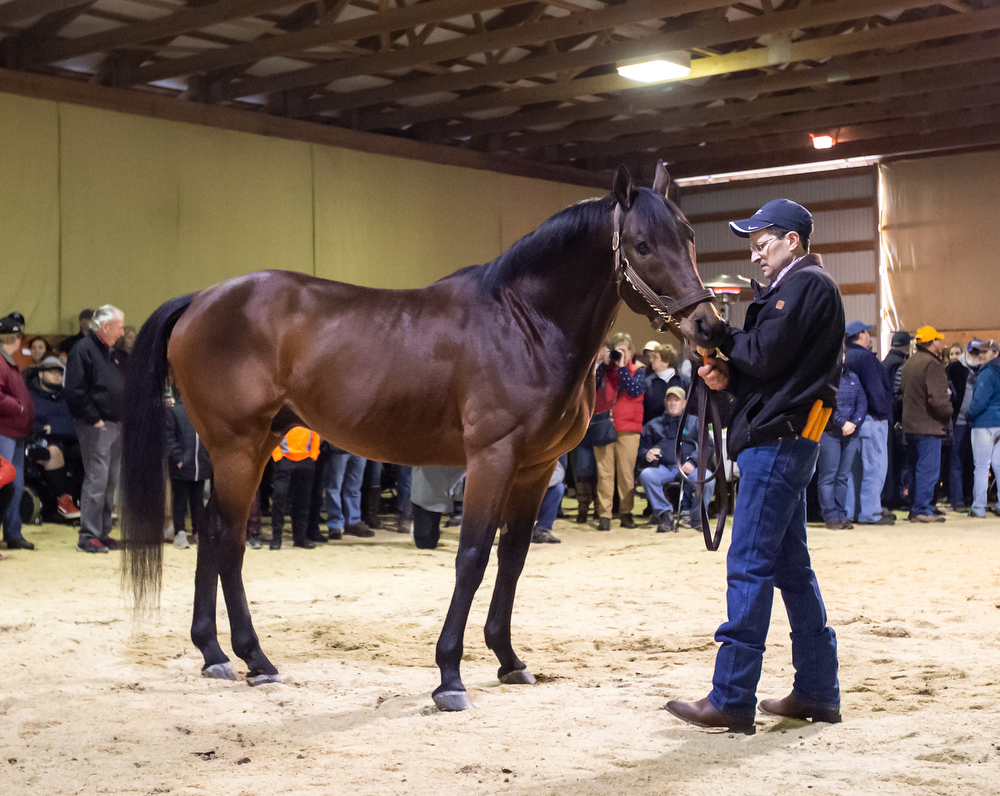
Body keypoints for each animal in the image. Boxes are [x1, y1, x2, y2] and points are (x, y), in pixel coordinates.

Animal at [120, 162, 727, 711]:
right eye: (643, 245)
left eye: (690, 238)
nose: (710, 327)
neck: (524, 323)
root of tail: (201, 298)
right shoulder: (492, 458)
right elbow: (473, 557)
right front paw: (449, 677)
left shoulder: (533, 469)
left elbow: (513, 558)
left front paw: (508, 660)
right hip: (239, 448)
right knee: (228, 540)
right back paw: (254, 658)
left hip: (248, 448)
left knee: (213, 532)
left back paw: (214, 654)